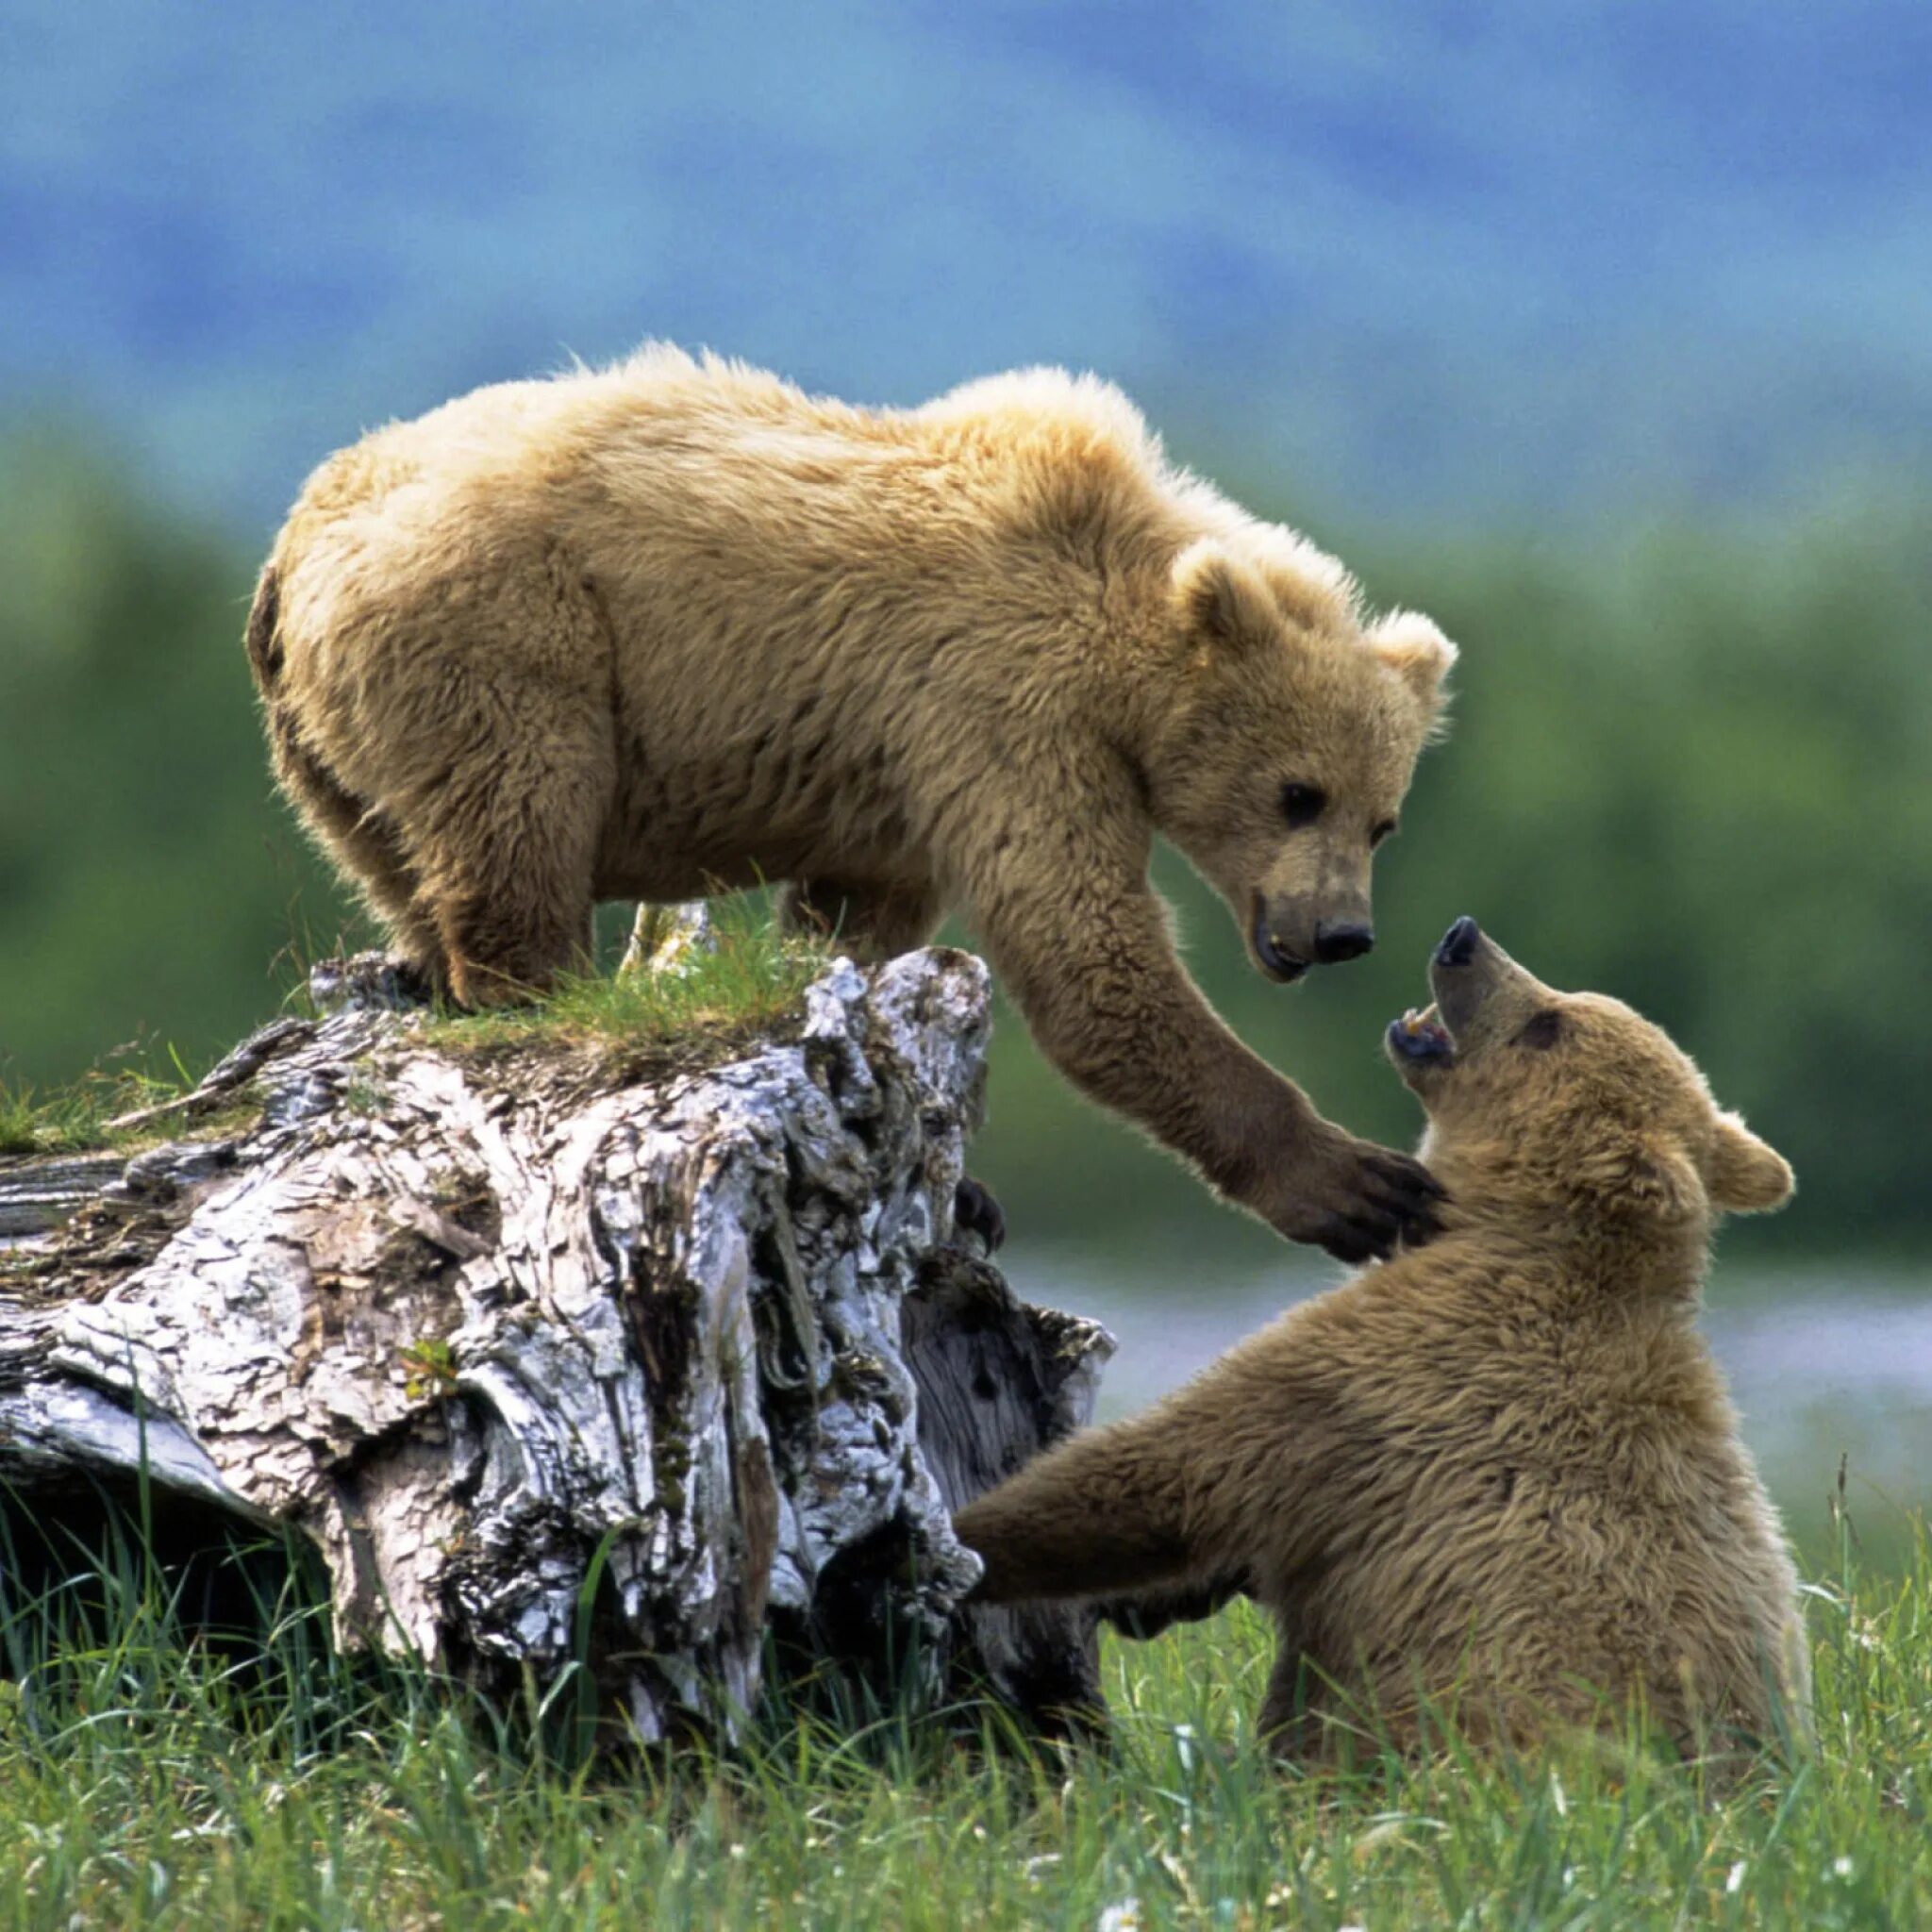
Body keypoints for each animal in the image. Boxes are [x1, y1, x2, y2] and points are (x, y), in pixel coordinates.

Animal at [246, 347, 1455, 1261]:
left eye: (1380, 818)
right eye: (1296, 793)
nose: (1340, 932)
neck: (1121, 630)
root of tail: (293, 541)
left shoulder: (901, 776)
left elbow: (859, 924)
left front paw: (958, 1179)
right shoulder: (1001, 707)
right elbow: (1086, 954)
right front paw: (1362, 1183)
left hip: (330, 753)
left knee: (404, 863)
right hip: (502, 631)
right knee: (518, 820)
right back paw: (544, 988)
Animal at [953, 917, 1808, 1763]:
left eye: (1548, 1023)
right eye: (1565, 1003)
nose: (1464, 938)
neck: (1514, 1232)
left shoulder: (1385, 1379)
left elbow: (1164, 1474)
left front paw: (961, 1541)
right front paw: (1154, 1599)